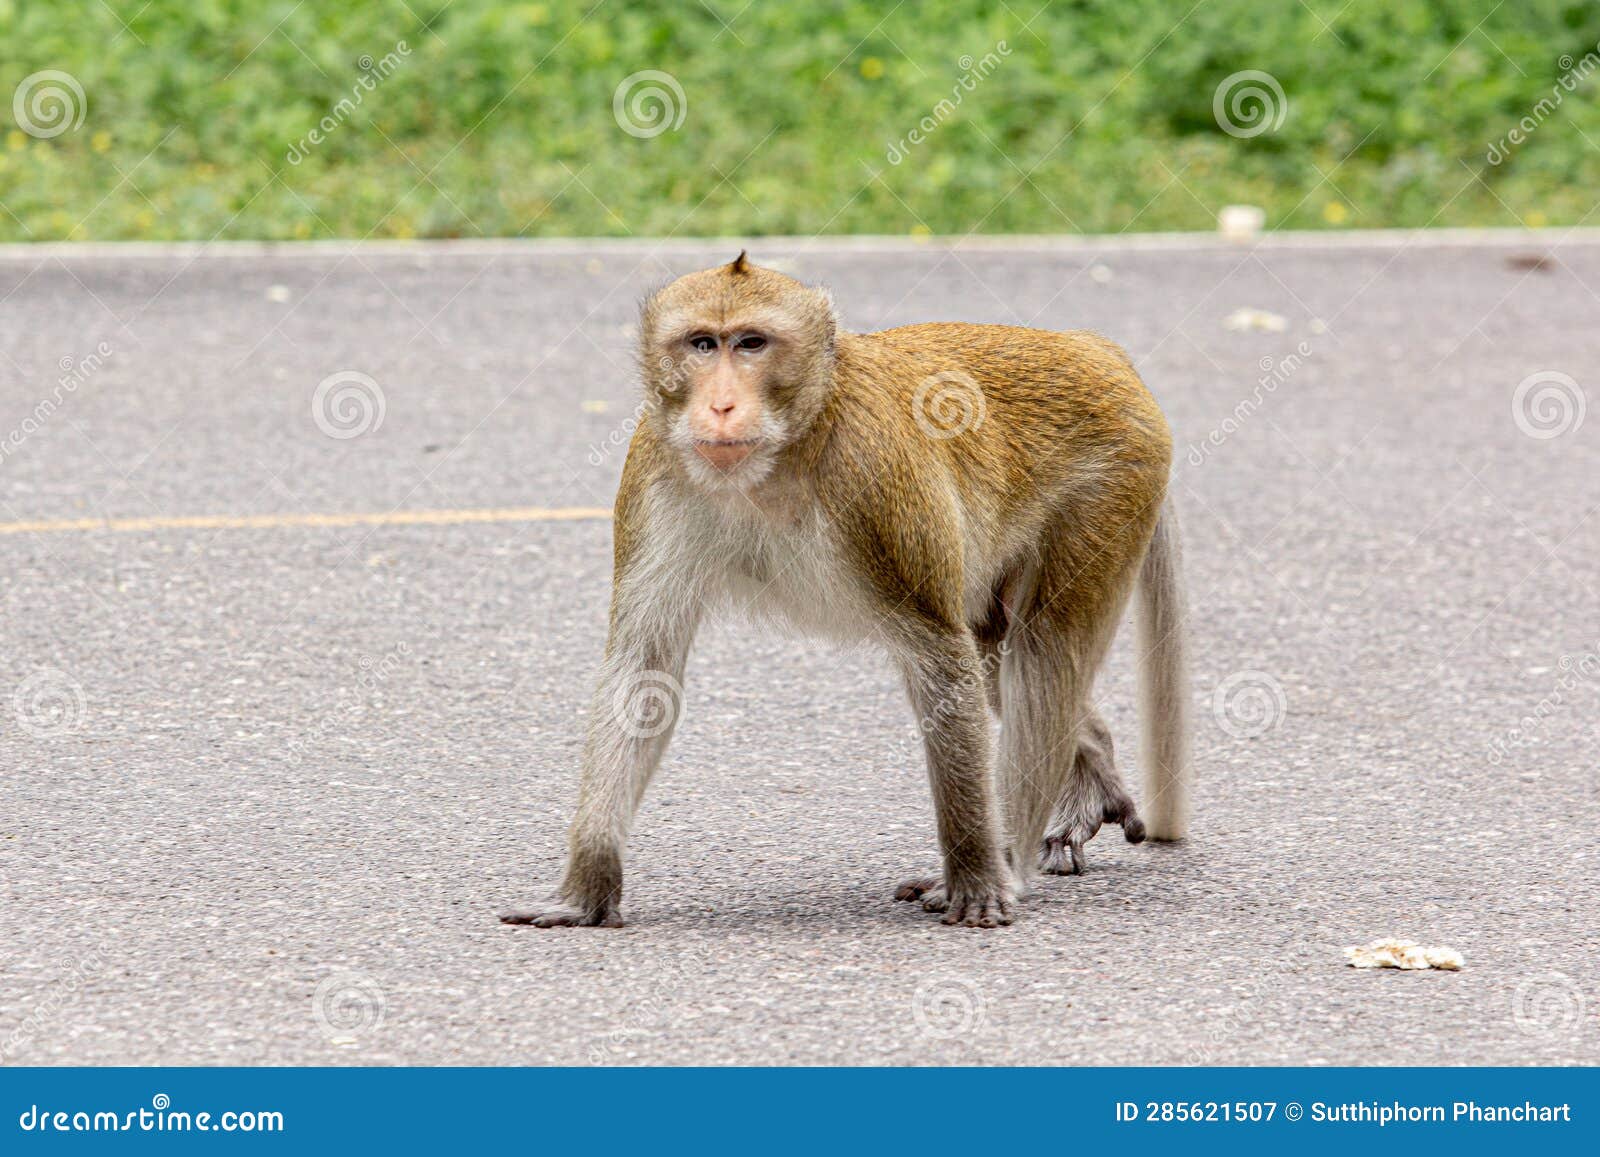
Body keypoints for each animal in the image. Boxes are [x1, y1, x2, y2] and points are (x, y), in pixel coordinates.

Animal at [501, 251, 1190, 929]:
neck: (785, 451)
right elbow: (645, 669)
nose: (720, 406)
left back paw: (1011, 858)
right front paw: (587, 887)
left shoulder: (876, 480)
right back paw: (1091, 777)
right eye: (701, 344)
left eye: (750, 344)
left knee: (1042, 655)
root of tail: (1094, 348)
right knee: (997, 650)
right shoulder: (654, 470)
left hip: (1113, 482)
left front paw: (975, 876)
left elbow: (940, 657)